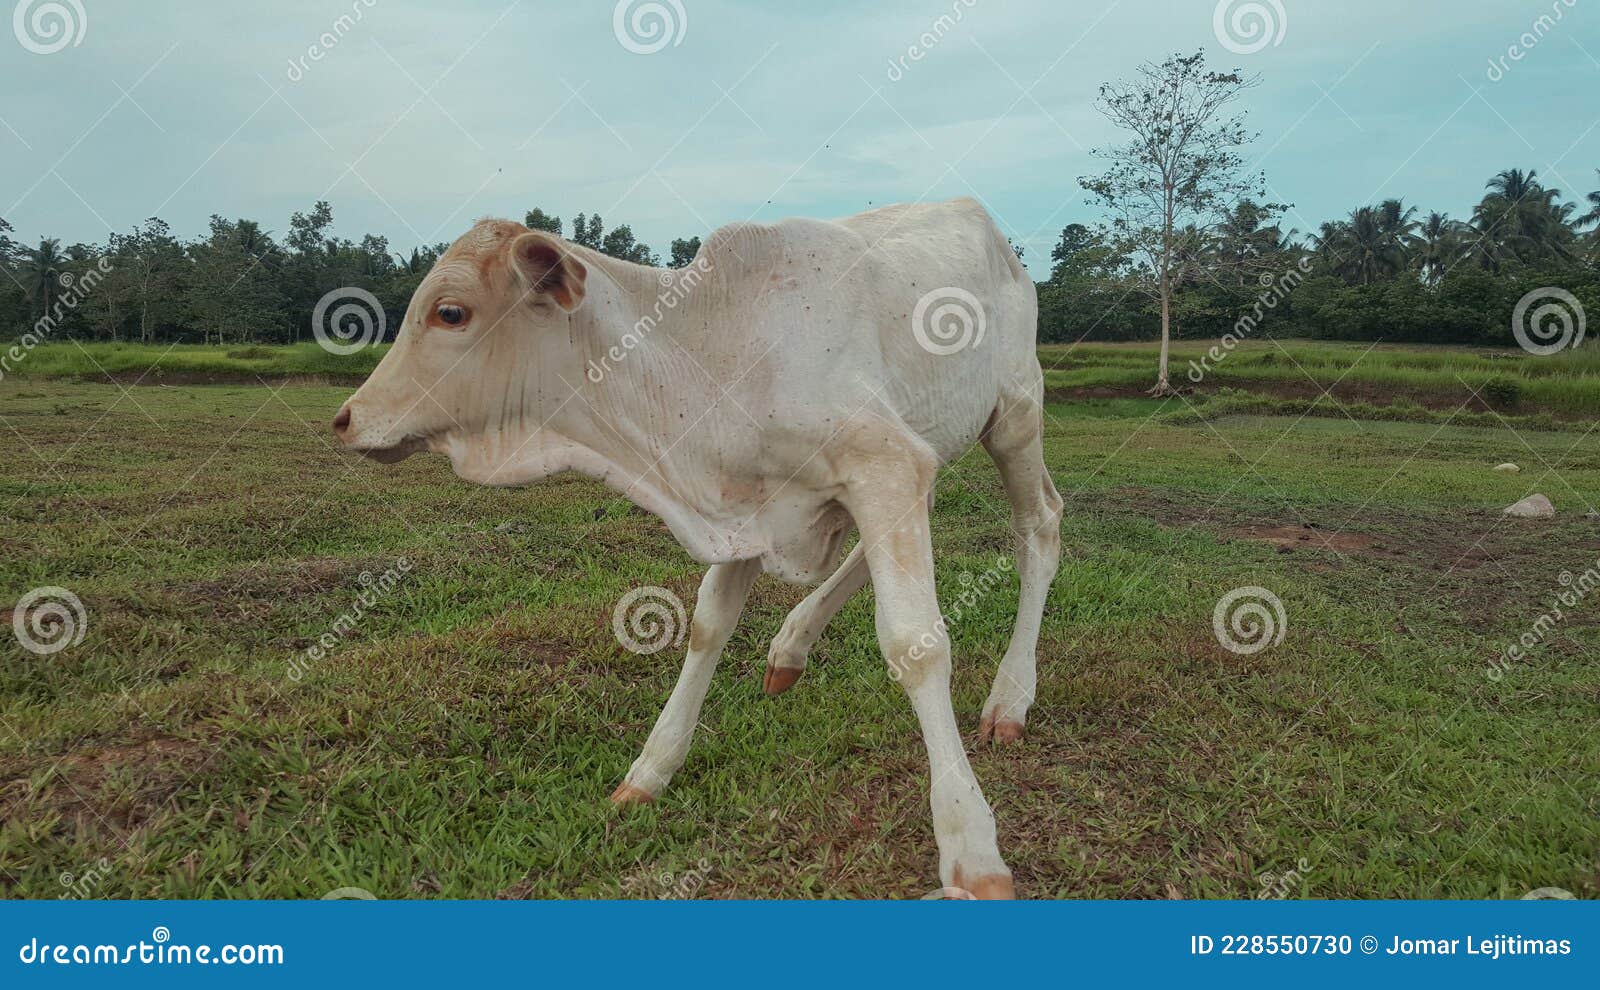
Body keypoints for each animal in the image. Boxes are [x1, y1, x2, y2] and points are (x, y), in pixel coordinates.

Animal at [333, 198, 1063, 898]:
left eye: (450, 312)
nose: (346, 419)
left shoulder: (885, 462)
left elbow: (915, 642)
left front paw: (971, 847)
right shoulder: (754, 502)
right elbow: (708, 627)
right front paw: (651, 769)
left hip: (1014, 415)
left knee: (1041, 527)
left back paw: (1009, 700)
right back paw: (791, 644)